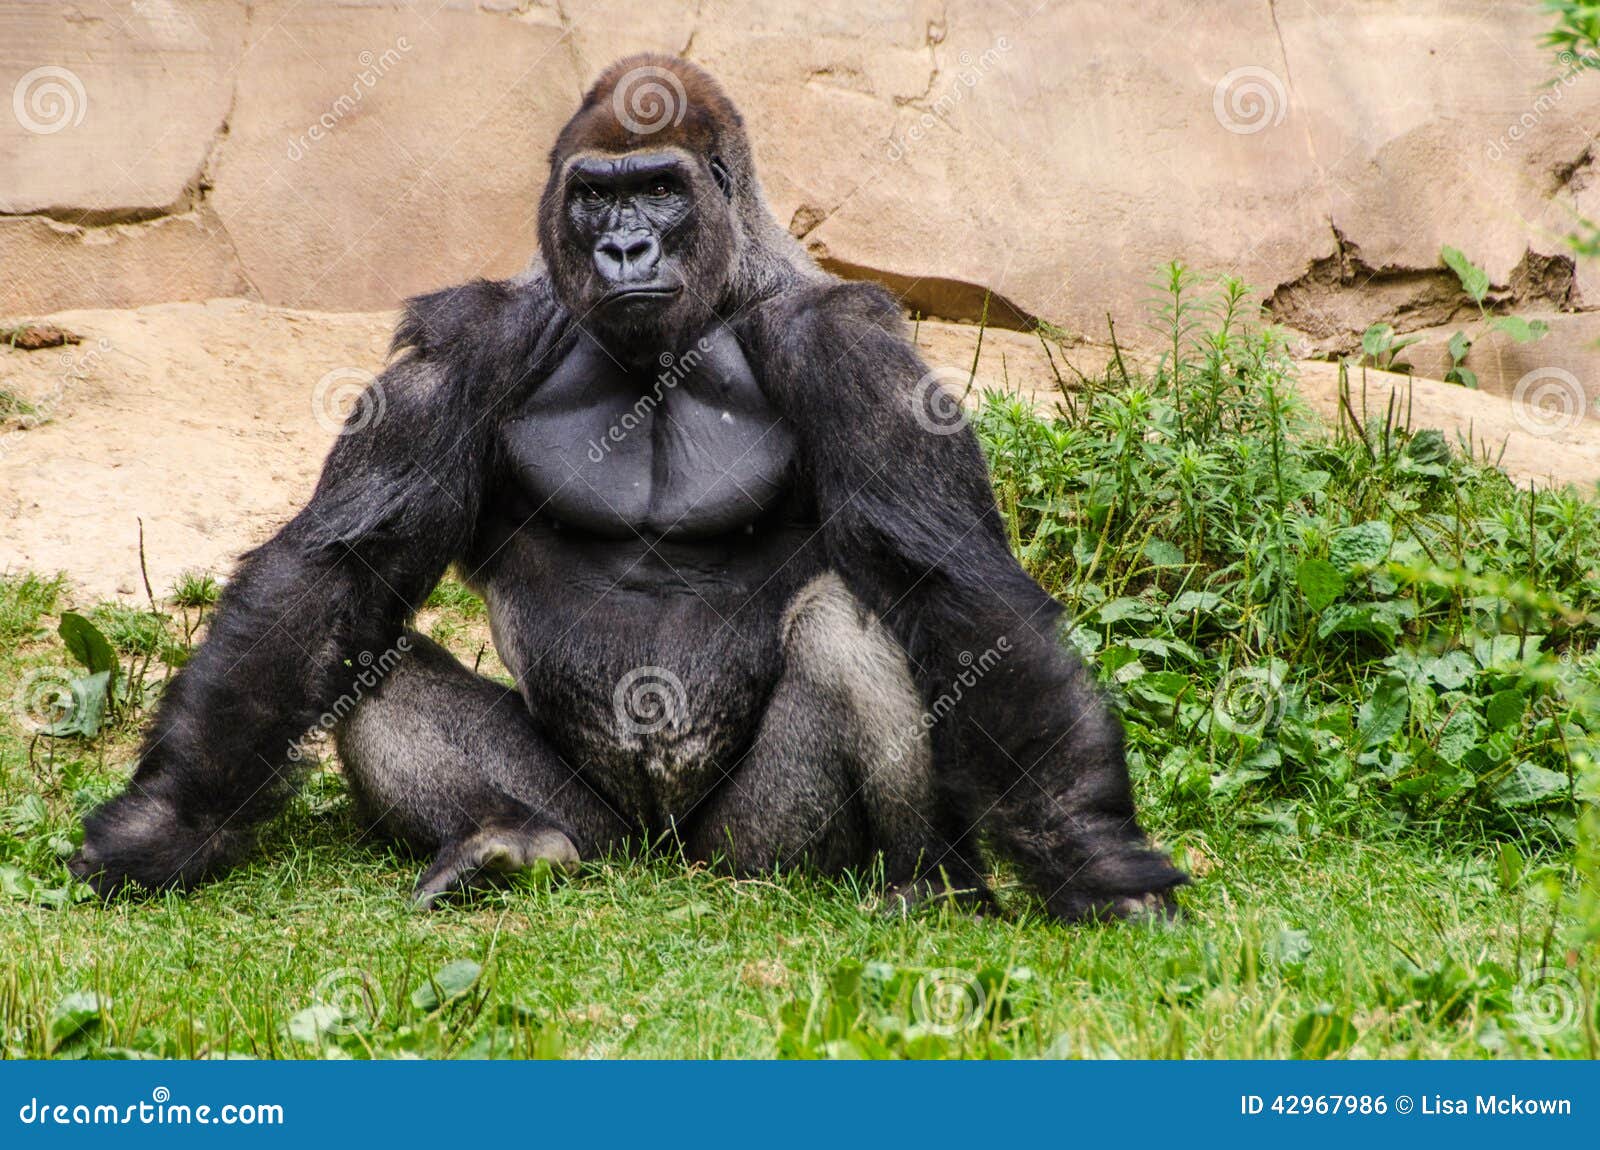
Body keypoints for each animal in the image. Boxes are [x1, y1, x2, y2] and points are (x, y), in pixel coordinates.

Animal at [71, 54, 1185, 920]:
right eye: (596, 196)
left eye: (658, 190)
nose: (623, 246)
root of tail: (659, 852)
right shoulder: (470, 337)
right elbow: (338, 570)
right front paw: (166, 822)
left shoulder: (849, 343)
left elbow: (946, 575)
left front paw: (1093, 850)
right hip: (595, 824)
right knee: (370, 661)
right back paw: (510, 840)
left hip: (754, 846)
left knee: (847, 626)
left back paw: (926, 881)